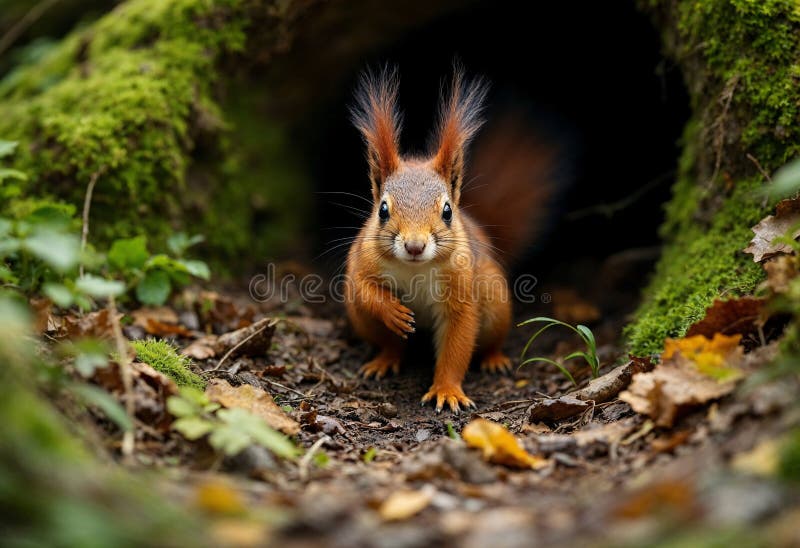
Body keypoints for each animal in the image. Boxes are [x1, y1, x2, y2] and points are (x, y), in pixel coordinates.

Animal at [344, 67, 554, 413]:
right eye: (382, 210)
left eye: (447, 211)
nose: (415, 246)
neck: (415, 269)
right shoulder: (362, 257)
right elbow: (363, 287)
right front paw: (392, 310)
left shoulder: (461, 287)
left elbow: (457, 343)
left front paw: (447, 390)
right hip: (362, 320)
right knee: (390, 342)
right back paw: (384, 360)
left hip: (495, 303)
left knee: (491, 339)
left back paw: (494, 359)